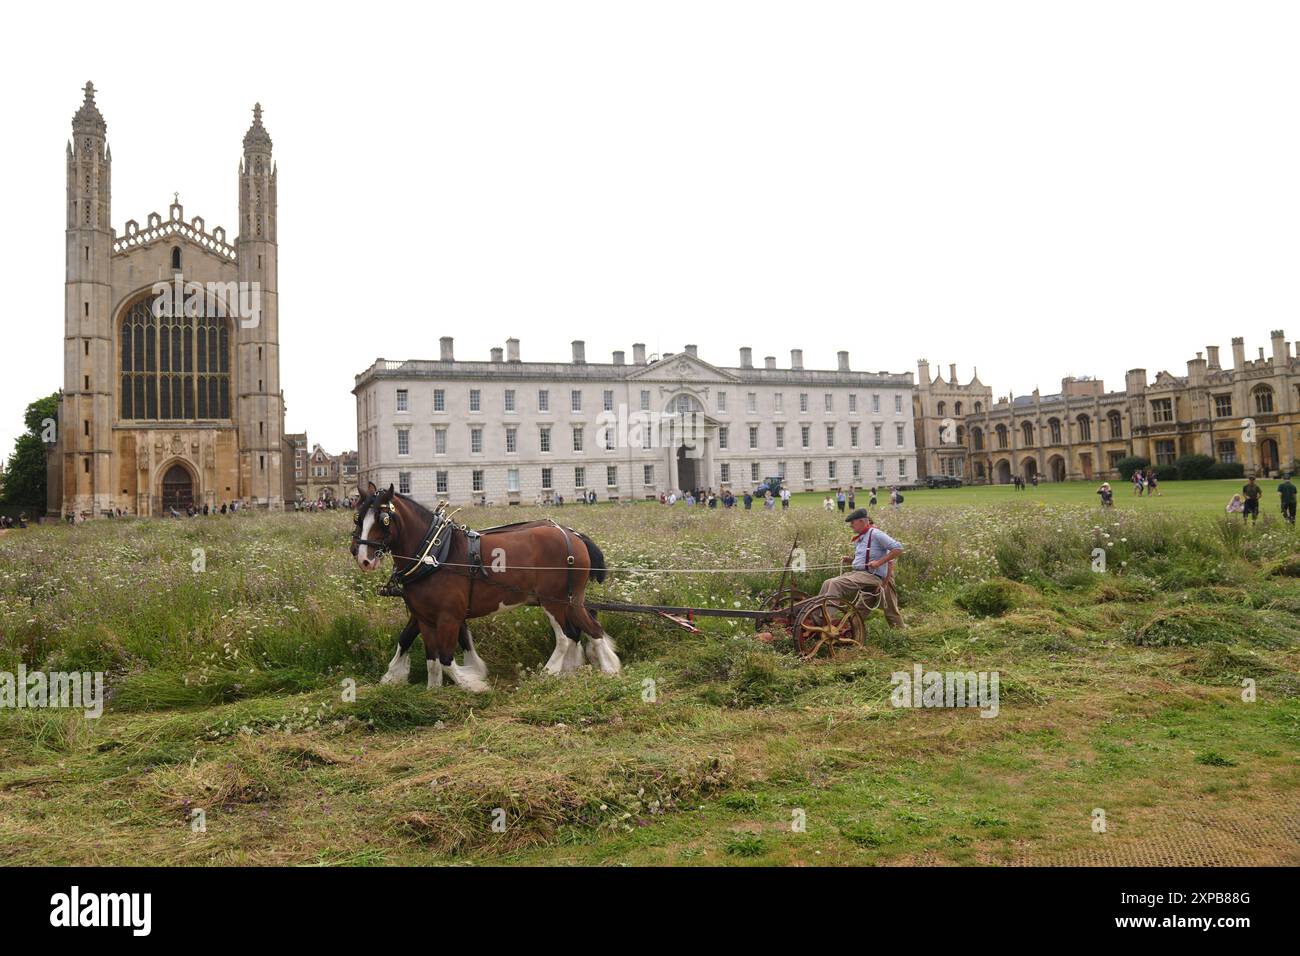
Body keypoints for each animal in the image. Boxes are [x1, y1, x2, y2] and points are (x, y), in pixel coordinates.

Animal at [350, 482, 620, 692]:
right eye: (358, 517)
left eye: (384, 520)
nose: (362, 557)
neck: (434, 553)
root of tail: (573, 535)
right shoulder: (425, 617)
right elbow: (428, 656)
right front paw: (431, 691)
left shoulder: (449, 616)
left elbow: (446, 657)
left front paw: (473, 682)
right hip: (565, 601)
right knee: (580, 631)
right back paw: (581, 668)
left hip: (556, 600)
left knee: (573, 634)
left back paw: (572, 671)